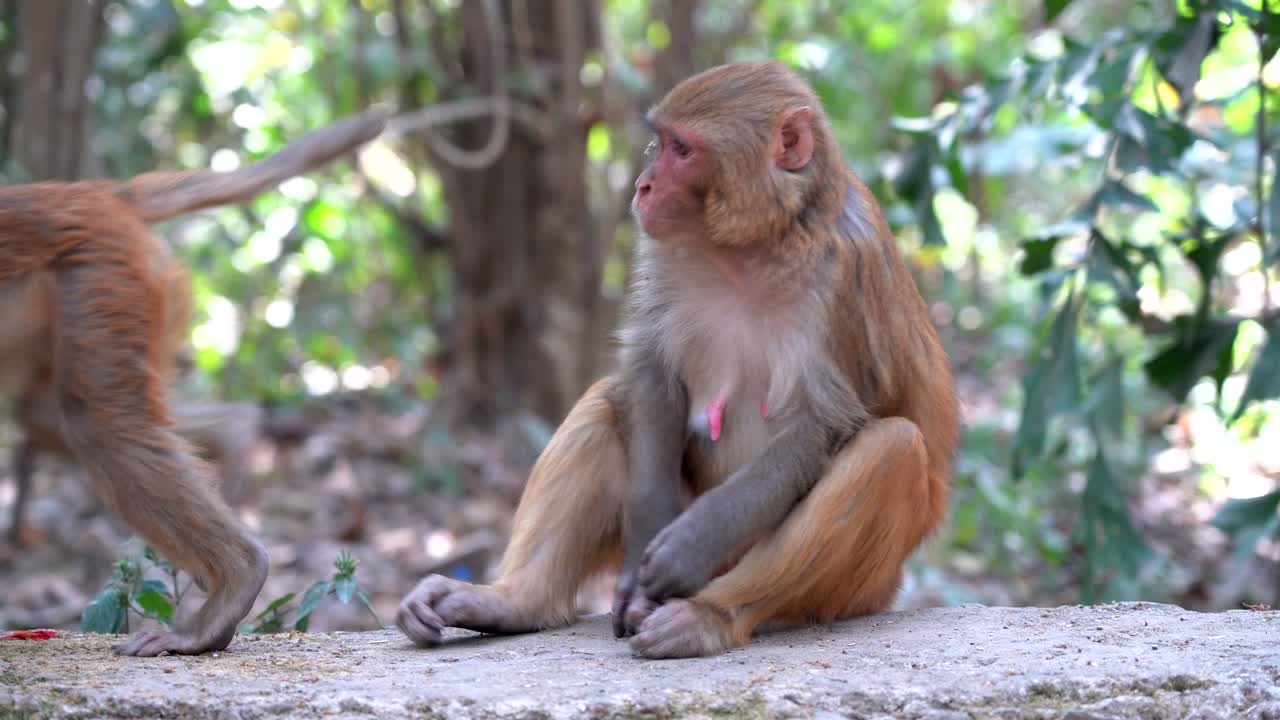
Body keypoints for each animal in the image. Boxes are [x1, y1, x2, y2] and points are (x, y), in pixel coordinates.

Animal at [0, 107, 388, 655]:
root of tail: (102, 193)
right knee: (49, 416)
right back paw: (236, 432)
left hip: (102, 274)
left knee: (98, 424)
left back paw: (234, 583)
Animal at [395, 61, 958, 659]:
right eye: (659, 143)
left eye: (683, 150)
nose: (643, 186)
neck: (758, 243)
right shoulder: (662, 250)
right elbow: (652, 370)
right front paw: (645, 545)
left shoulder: (850, 270)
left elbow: (827, 421)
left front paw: (691, 543)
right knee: (605, 401)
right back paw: (514, 601)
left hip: (857, 589)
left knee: (892, 449)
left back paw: (710, 616)